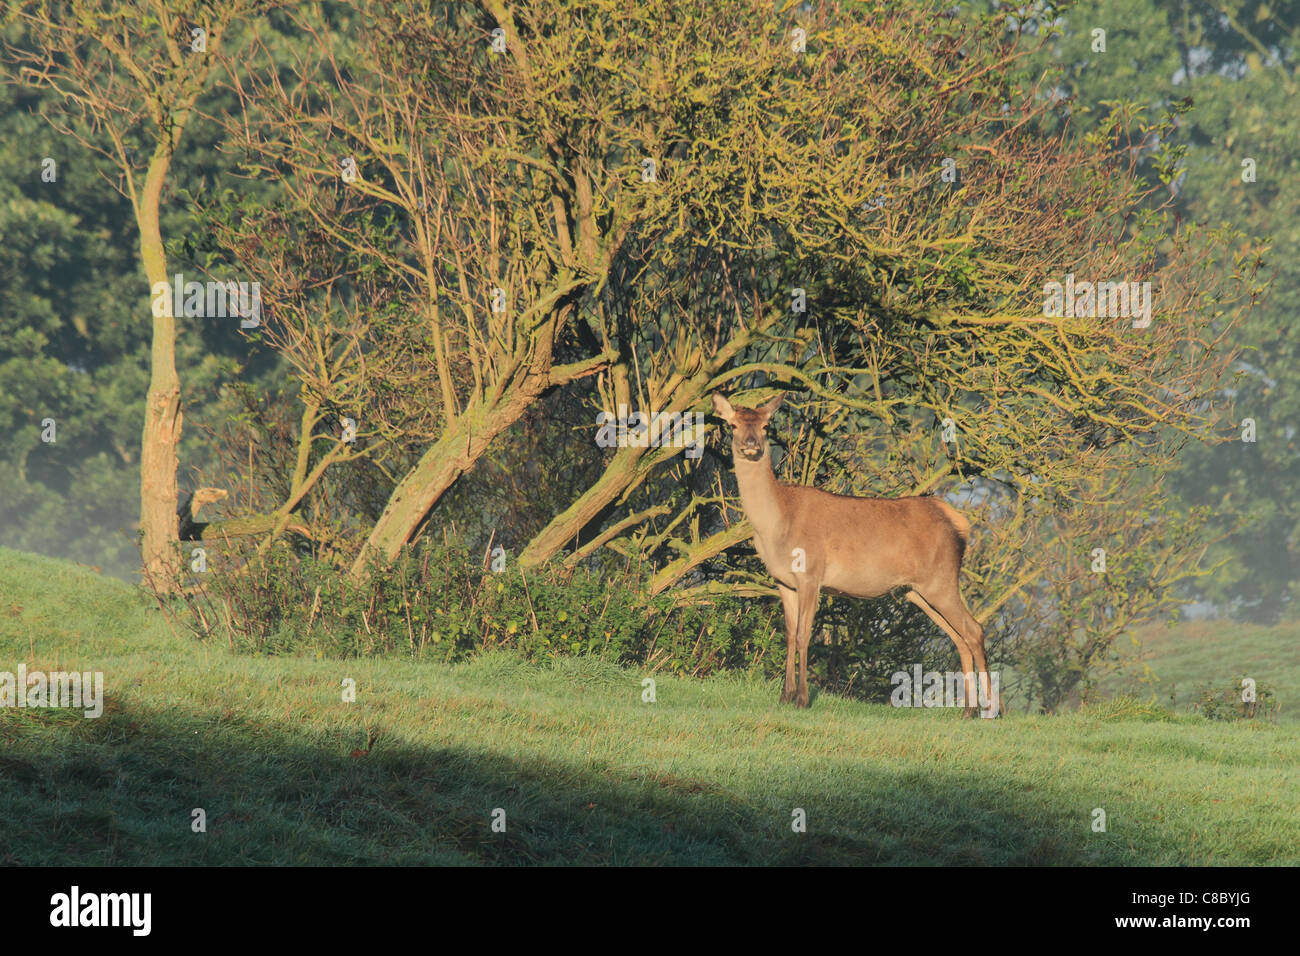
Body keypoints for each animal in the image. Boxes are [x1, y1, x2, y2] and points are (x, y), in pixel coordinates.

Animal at [712, 392, 999, 717]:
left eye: (765, 426)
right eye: (733, 425)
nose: (750, 444)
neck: (777, 524)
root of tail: (959, 522)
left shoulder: (811, 574)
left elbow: (803, 634)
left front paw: (802, 699)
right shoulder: (783, 582)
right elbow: (788, 635)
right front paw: (784, 696)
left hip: (941, 580)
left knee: (974, 629)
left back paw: (991, 710)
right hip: (918, 591)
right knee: (959, 637)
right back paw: (969, 710)